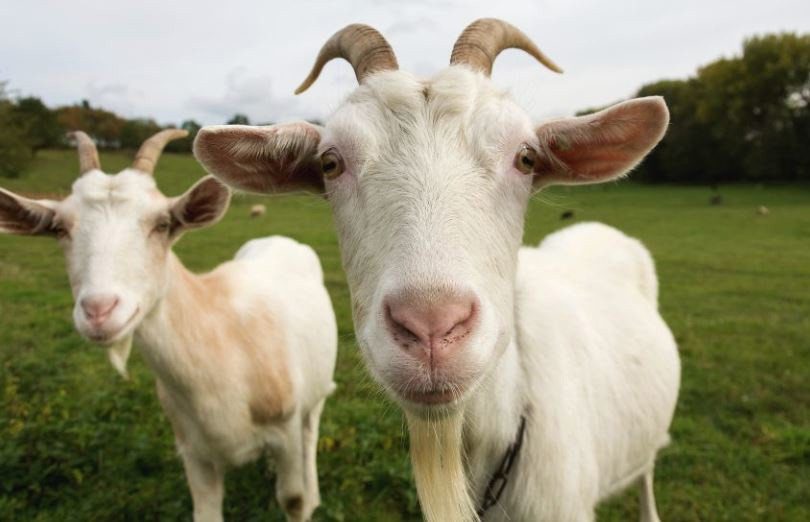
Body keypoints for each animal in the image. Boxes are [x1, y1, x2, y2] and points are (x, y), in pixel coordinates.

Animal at [0, 130, 337, 522]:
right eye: (59, 228)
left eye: (162, 224)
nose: (99, 310)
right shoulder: (194, 452)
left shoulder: (283, 432)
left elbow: (293, 499)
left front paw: (304, 499)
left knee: (310, 431)